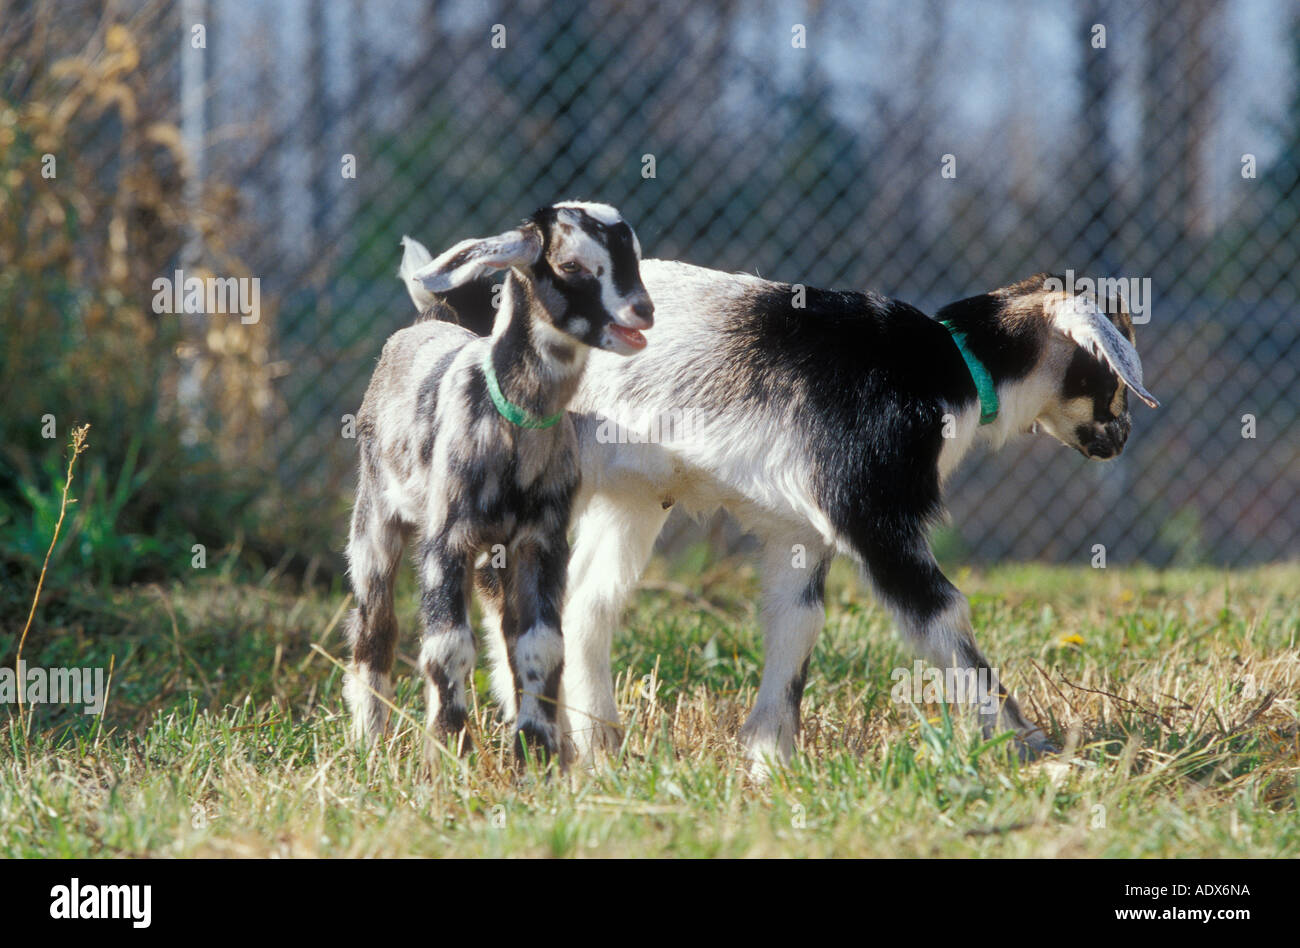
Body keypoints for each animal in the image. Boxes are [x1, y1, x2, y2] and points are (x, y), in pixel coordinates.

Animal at [342, 201, 653, 762]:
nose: (642, 311)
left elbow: (539, 647)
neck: (512, 423)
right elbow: (447, 647)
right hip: (375, 520)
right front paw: (447, 752)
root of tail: (431, 320)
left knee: (501, 628)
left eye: (634, 256)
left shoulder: (541, 541)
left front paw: (539, 753)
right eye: (572, 265)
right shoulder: (445, 540)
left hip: (493, 554)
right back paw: (369, 742)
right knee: (375, 627)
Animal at [407, 258, 1157, 773]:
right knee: (509, 596)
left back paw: (599, 746)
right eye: (1111, 367)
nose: (1121, 439)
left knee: (589, 602)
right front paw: (1036, 751)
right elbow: (944, 617)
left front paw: (771, 761)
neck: (953, 366)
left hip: (632, 498)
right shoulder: (871, 511)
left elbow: (798, 624)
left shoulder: (802, 531)